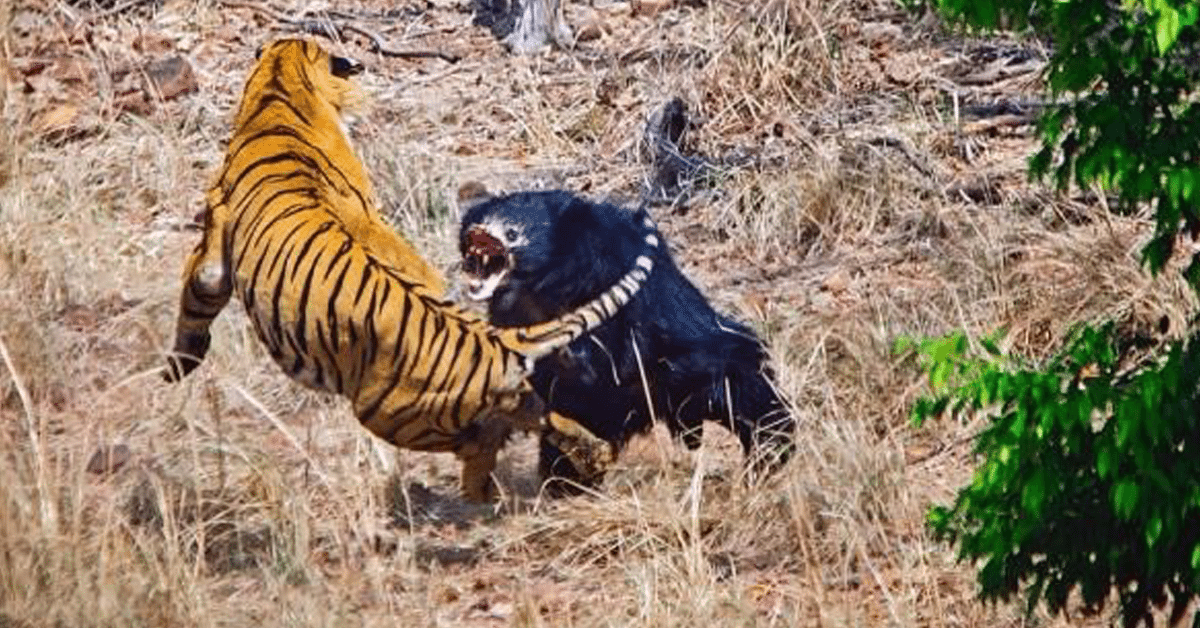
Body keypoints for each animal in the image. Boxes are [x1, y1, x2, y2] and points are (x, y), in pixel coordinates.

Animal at [162, 38, 659, 501]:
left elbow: (197, 296)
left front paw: (178, 367)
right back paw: (586, 459)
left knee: (482, 441)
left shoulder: (212, 248)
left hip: (388, 413)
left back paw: (480, 492)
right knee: (545, 417)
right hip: (501, 399)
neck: (282, 87)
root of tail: (497, 340)